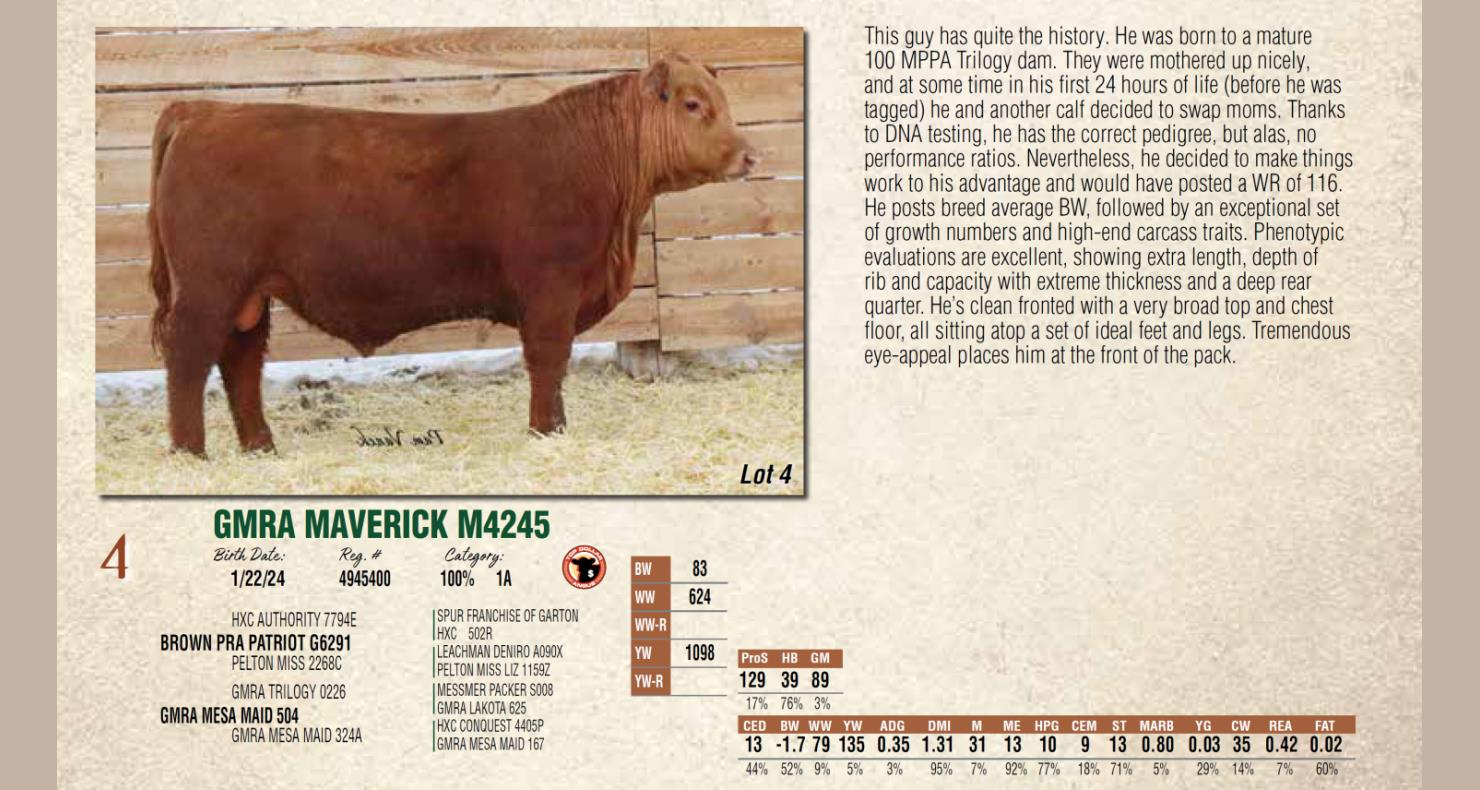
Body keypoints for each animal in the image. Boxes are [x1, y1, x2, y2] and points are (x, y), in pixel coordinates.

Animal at [146, 54, 757, 456]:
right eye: (694, 104)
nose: (749, 155)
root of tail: (201, 109)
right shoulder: (551, 291)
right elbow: (549, 360)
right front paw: (546, 431)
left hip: (249, 292)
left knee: (241, 361)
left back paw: (260, 446)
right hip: (209, 285)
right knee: (190, 358)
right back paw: (191, 454)